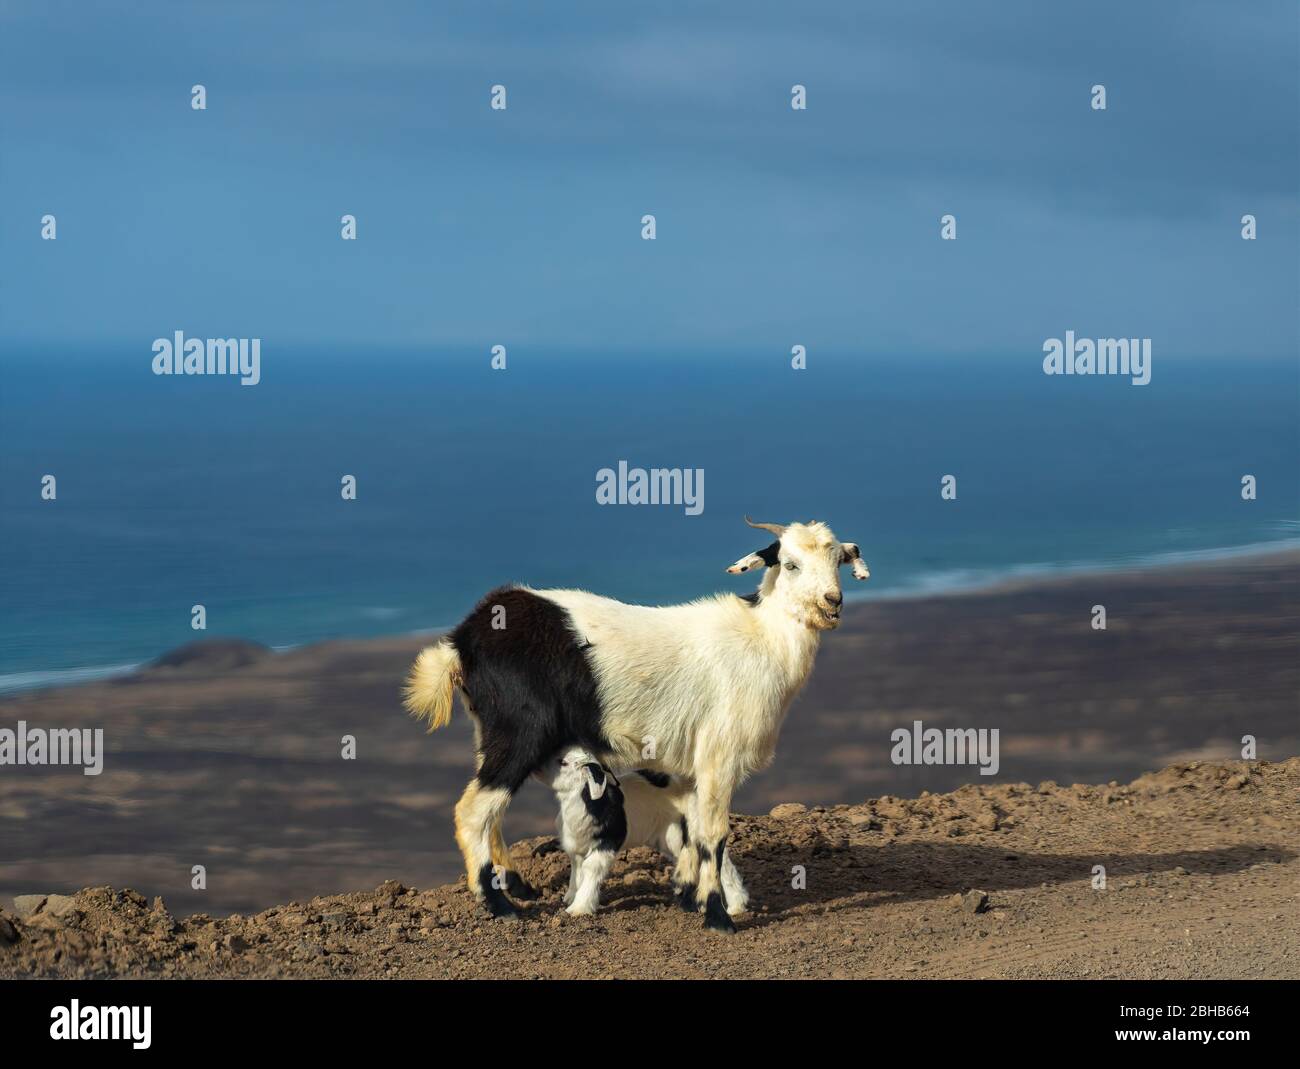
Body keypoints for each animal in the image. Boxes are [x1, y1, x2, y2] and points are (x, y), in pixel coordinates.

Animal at [403, 516, 868, 932]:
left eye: (838, 560)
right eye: (789, 564)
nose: (832, 602)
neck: (763, 637)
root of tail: (463, 641)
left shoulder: (691, 768)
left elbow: (694, 830)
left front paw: (701, 897)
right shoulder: (718, 755)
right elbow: (714, 835)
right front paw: (718, 916)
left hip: (488, 731)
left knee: (491, 810)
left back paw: (517, 886)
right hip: (520, 733)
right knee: (473, 811)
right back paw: (499, 905)